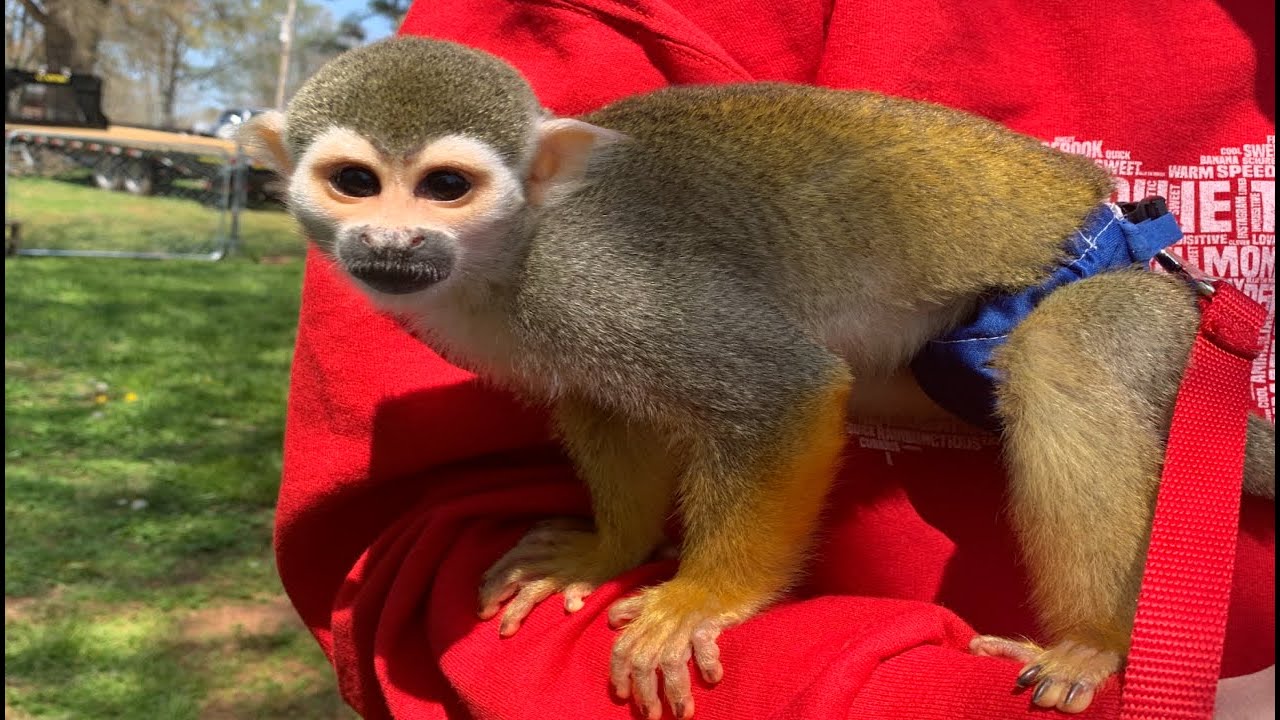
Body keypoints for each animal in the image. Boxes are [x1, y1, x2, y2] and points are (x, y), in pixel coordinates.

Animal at [242, 36, 1276, 719]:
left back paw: (1094, 641)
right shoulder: (567, 322)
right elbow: (604, 407)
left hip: (1123, 308)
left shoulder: (603, 275)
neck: (508, 257)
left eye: (446, 188)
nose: (392, 242)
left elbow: (785, 389)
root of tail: (1157, 260)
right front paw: (607, 550)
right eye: (356, 183)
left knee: (1066, 365)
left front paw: (705, 597)